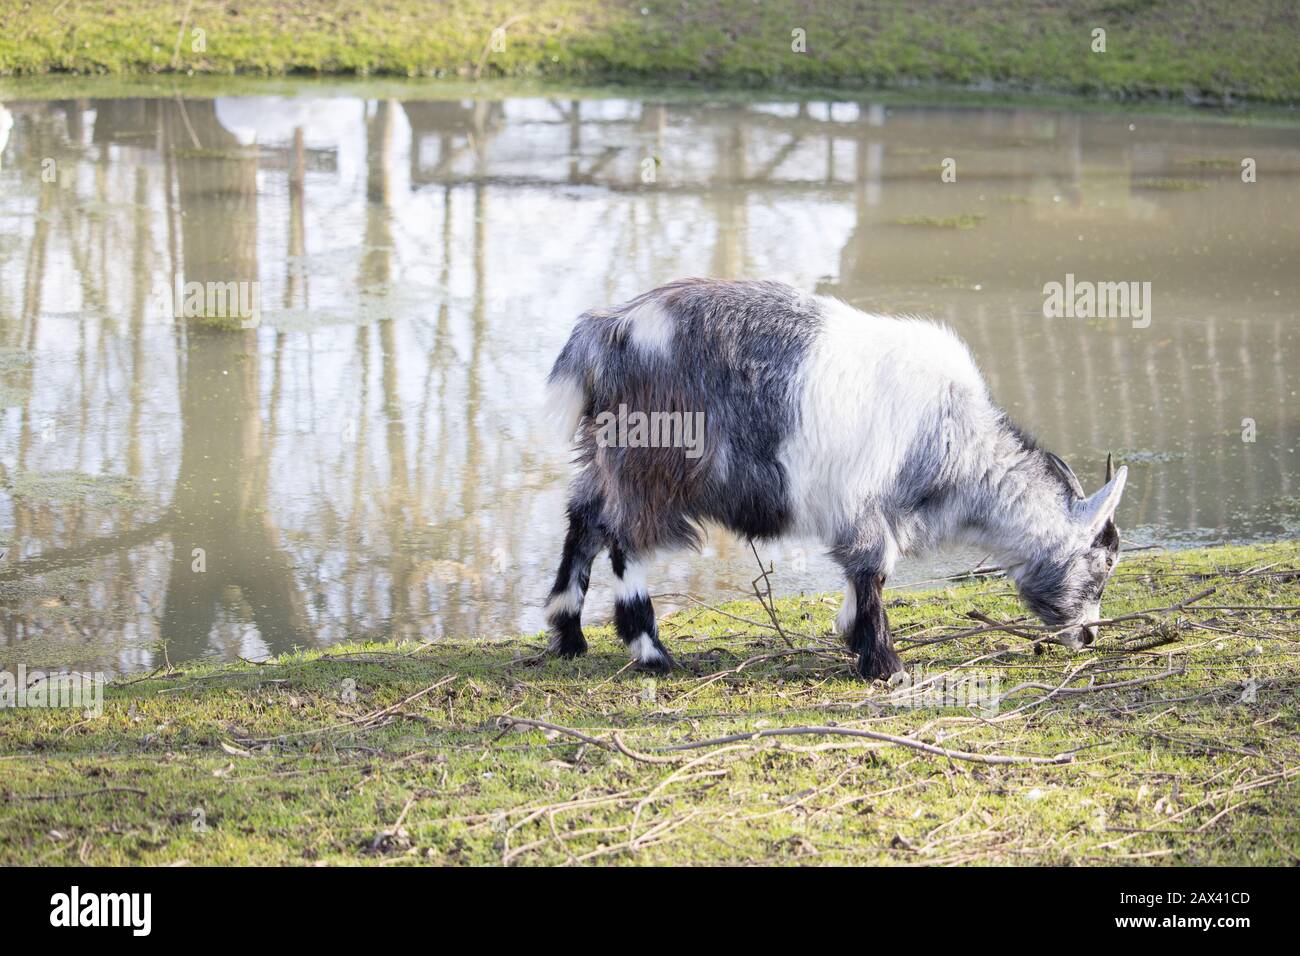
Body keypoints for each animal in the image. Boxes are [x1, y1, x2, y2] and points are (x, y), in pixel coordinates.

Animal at [544, 278, 1128, 679]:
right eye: (1101, 564)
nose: (1089, 636)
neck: (955, 440)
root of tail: (603, 331)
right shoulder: (868, 507)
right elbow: (872, 571)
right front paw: (884, 662)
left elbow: (864, 574)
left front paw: (855, 639)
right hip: (650, 466)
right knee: (626, 541)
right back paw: (650, 652)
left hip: (602, 458)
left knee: (584, 521)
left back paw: (569, 635)